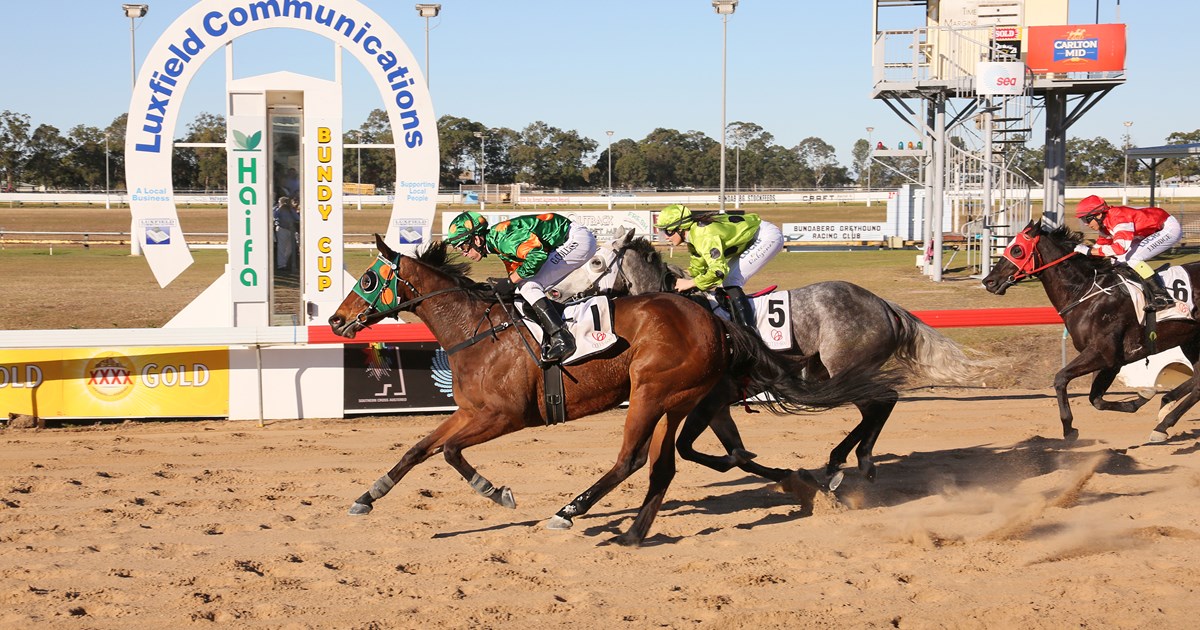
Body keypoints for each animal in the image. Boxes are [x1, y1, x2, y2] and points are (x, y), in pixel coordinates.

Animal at [328, 236, 896, 546]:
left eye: (371, 279)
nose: (335, 321)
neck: (479, 332)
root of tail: (713, 322)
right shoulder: (471, 411)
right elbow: (418, 449)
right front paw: (367, 496)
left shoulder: (504, 415)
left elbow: (446, 451)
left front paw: (496, 491)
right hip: (675, 398)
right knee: (662, 464)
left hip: (652, 394)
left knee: (631, 459)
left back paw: (570, 512)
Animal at [551, 228, 996, 487]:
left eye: (595, 261)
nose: (556, 292)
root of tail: (885, 305)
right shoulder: (717, 403)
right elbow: (717, 449)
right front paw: (757, 466)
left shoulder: (712, 397)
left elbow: (696, 449)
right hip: (830, 372)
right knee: (877, 406)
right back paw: (844, 463)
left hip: (846, 368)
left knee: (880, 402)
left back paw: (854, 462)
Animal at [982, 219, 1200, 442]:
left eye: (1017, 250)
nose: (989, 281)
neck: (1085, 292)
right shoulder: (1111, 361)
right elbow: (1096, 399)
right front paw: (1143, 396)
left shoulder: (1104, 354)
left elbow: (1061, 378)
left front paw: (1068, 428)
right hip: (1191, 341)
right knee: (1198, 382)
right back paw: (1165, 409)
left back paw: (1163, 423)